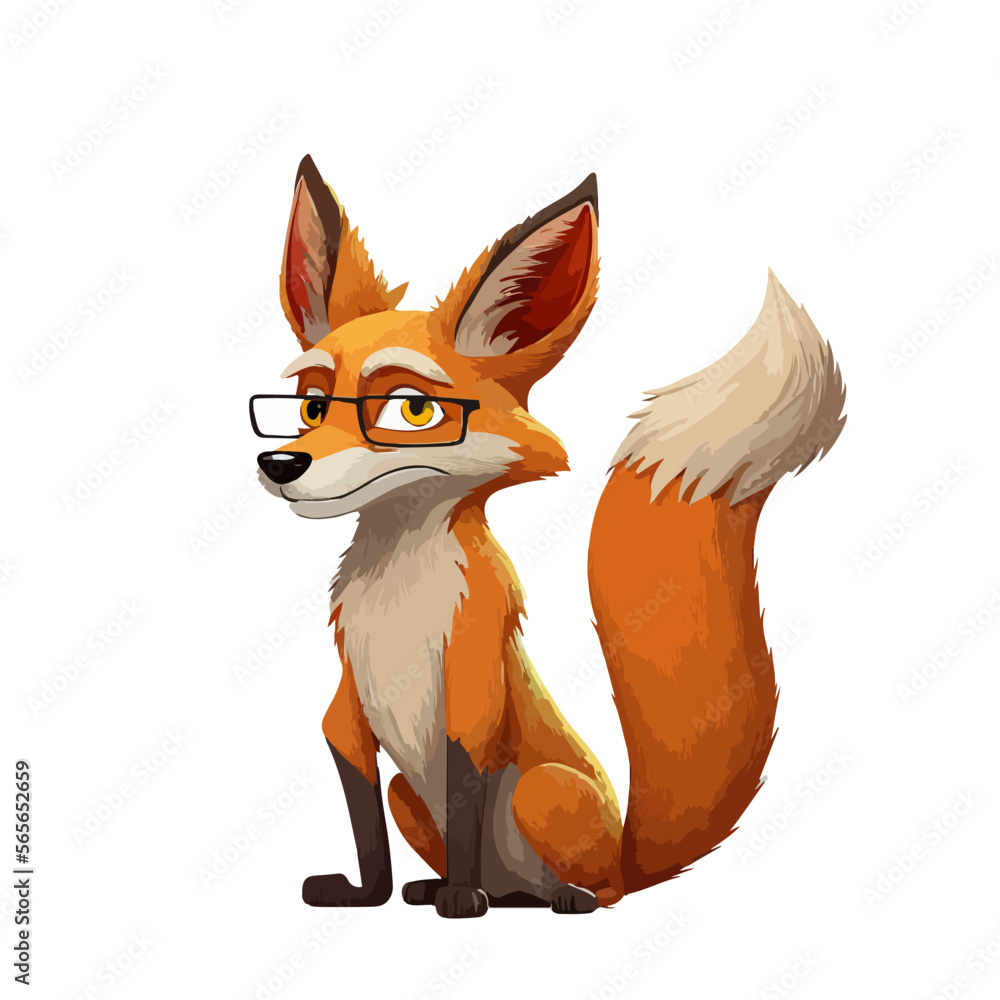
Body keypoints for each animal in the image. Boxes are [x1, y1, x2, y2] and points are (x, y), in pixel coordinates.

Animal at [252, 154, 846, 918]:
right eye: (311, 408)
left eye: (411, 409)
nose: (282, 465)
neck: (397, 597)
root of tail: (628, 851)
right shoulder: (348, 710)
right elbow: (364, 827)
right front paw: (369, 895)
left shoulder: (474, 689)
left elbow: (467, 779)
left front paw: (460, 900)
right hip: (411, 794)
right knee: (494, 874)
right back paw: (446, 888)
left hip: (541, 794)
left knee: (595, 892)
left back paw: (549, 896)